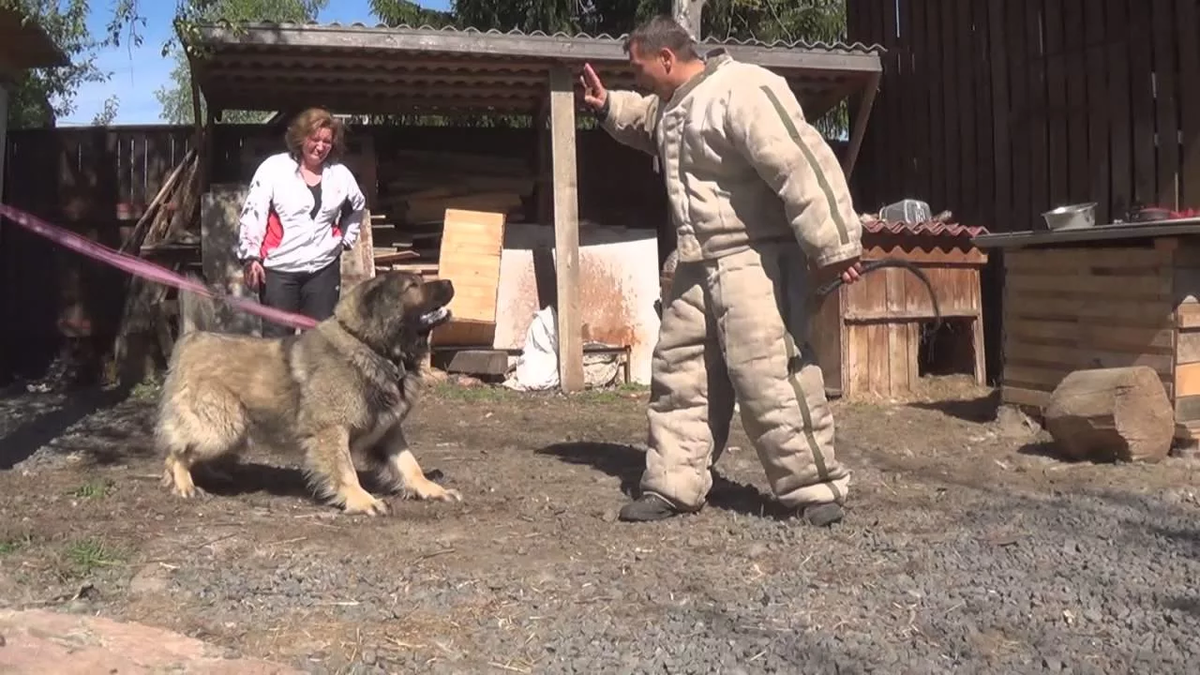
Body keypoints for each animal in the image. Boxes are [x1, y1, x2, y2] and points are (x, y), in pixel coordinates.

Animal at [156, 270, 463, 511]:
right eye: (413, 286)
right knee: (176, 452)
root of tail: (193, 337)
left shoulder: (388, 431)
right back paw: (183, 484)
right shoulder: (331, 430)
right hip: (222, 428)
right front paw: (362, 500)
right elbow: (346, 471)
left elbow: (410, 465)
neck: (371, 346)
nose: (450, 281)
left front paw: (432, 490)